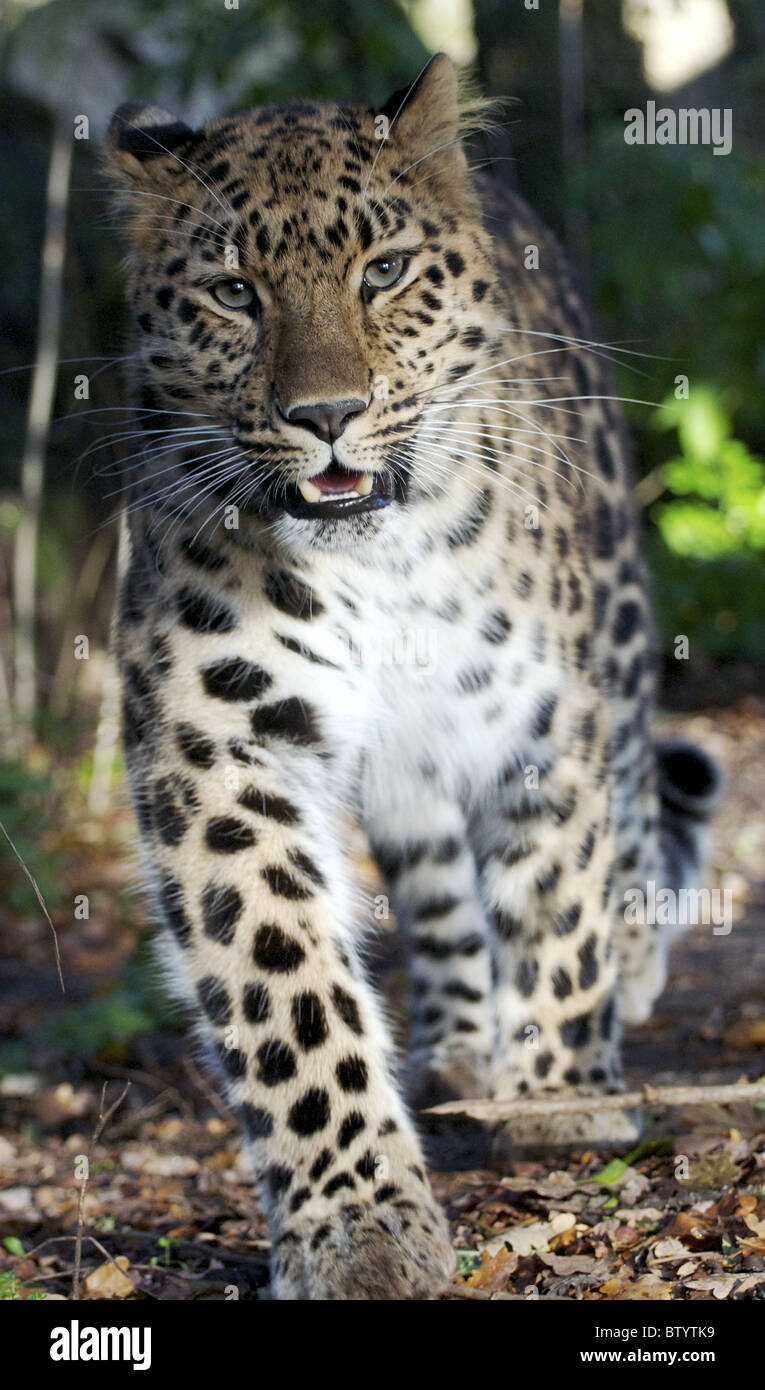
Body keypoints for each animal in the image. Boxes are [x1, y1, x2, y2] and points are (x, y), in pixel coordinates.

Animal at [103, 54, 722, 1300]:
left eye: (382, 271)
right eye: (234, 293)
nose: (327, 416)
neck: (376, 566)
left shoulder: (545, 711)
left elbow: (561, 892)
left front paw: (557, 1094)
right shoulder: (218, 744)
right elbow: (285, 987)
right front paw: (360, 1226)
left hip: (622, 628)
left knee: (636, 800)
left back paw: (619, 974)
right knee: (438, 892)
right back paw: (454, 1047)